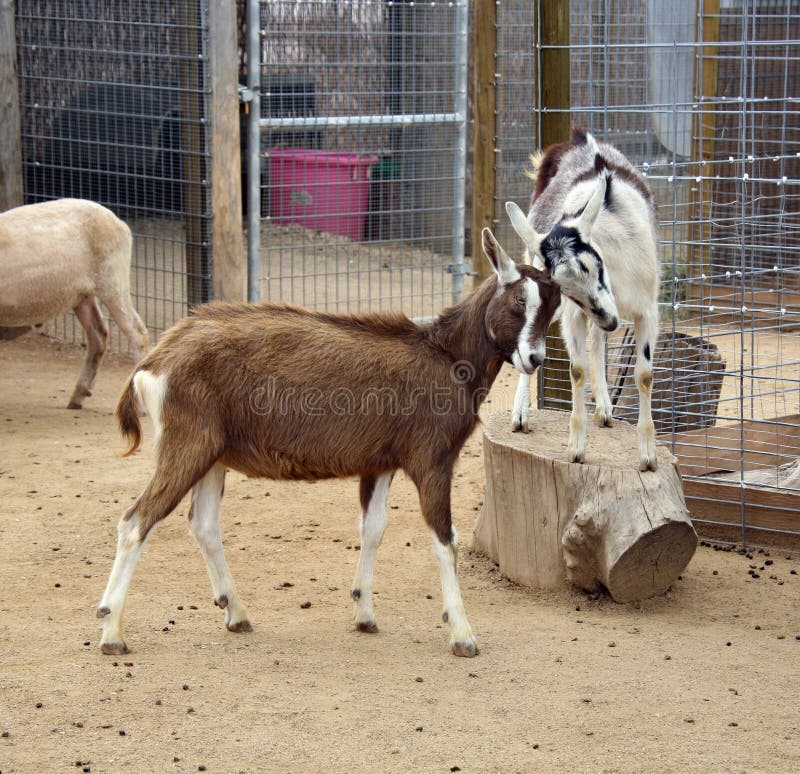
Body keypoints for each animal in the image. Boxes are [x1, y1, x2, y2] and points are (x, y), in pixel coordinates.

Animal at [0, 199, 149, 408]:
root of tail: (118, 221)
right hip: (82, 295)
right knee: (99, 335)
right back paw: (78, 395)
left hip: (112, 279)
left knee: (137, 333)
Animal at [96, 229, 561, 658]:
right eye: (519, 301)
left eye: (553, 307)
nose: (534, 359)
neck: (445, 356)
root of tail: (154, 361)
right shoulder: (432, 459)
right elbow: (445, 537)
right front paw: (463, 634)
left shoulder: (381, 463)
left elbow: (373, 528)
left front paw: (365, 614)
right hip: (186, 445)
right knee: (136, 521)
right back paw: (111, 631)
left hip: (212, 455)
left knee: (204, 524)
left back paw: (237, 614)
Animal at [505, 127, 660, 471]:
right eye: (564, 289)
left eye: (595, 266)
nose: (612, 320)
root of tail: (578, 138)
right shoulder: (573, 312)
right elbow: (577, 370)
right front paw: (576, 450)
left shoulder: (647, 310)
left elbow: (644, 375)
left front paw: (648, 456)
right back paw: (520, 414)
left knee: (598, 339)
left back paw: (604, 408)